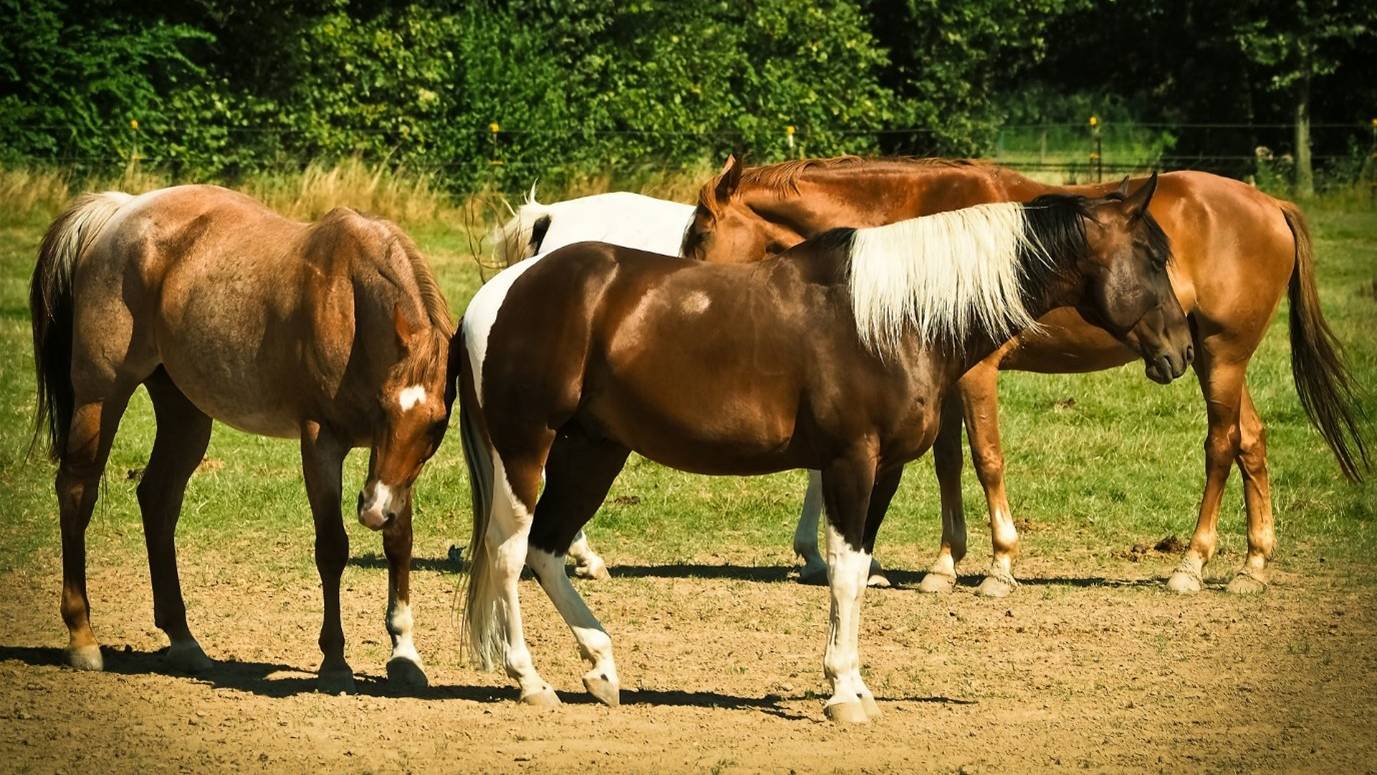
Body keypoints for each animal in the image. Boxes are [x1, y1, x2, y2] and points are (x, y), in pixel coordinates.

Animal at [29, 185, 457, 693]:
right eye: (388, 408)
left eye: (435, 424)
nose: (372, 512)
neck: (349, 305)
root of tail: (121, 210)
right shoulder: (321, 442)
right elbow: (332, 548)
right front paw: (335, 662)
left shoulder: (389, 468)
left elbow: (399, 540)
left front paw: (405, 655)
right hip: (101, 395)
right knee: (77, 492)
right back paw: (82, 638)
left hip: (185, 413)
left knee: (158, 500)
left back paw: (184, 641)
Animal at [457, 177, 1191, 722]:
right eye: (1153, 258)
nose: (1180, 351)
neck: (896, 318)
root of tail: (499, 292)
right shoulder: (850, 463)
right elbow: (841, 571)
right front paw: (843, 693)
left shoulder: (885, 470)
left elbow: (859, 571)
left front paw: (856, 684)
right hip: (526, 451)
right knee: (509, 552)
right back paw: (531, 680)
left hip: (594, 452)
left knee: (548, 549)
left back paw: (601, 666)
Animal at [682, 155, 1367, 596]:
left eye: (700, 236)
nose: (686, 294)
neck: (911, 226)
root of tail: (1267, 203)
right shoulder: (943, 377)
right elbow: (948, 463)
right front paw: (943, 566)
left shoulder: (976, 375)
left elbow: (986, 460)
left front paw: (999, 566)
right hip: (1213, 357)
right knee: (1252, 440)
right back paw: (1252, 565)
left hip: (1220, 358)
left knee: (1221, 444)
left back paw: (1192, 566)